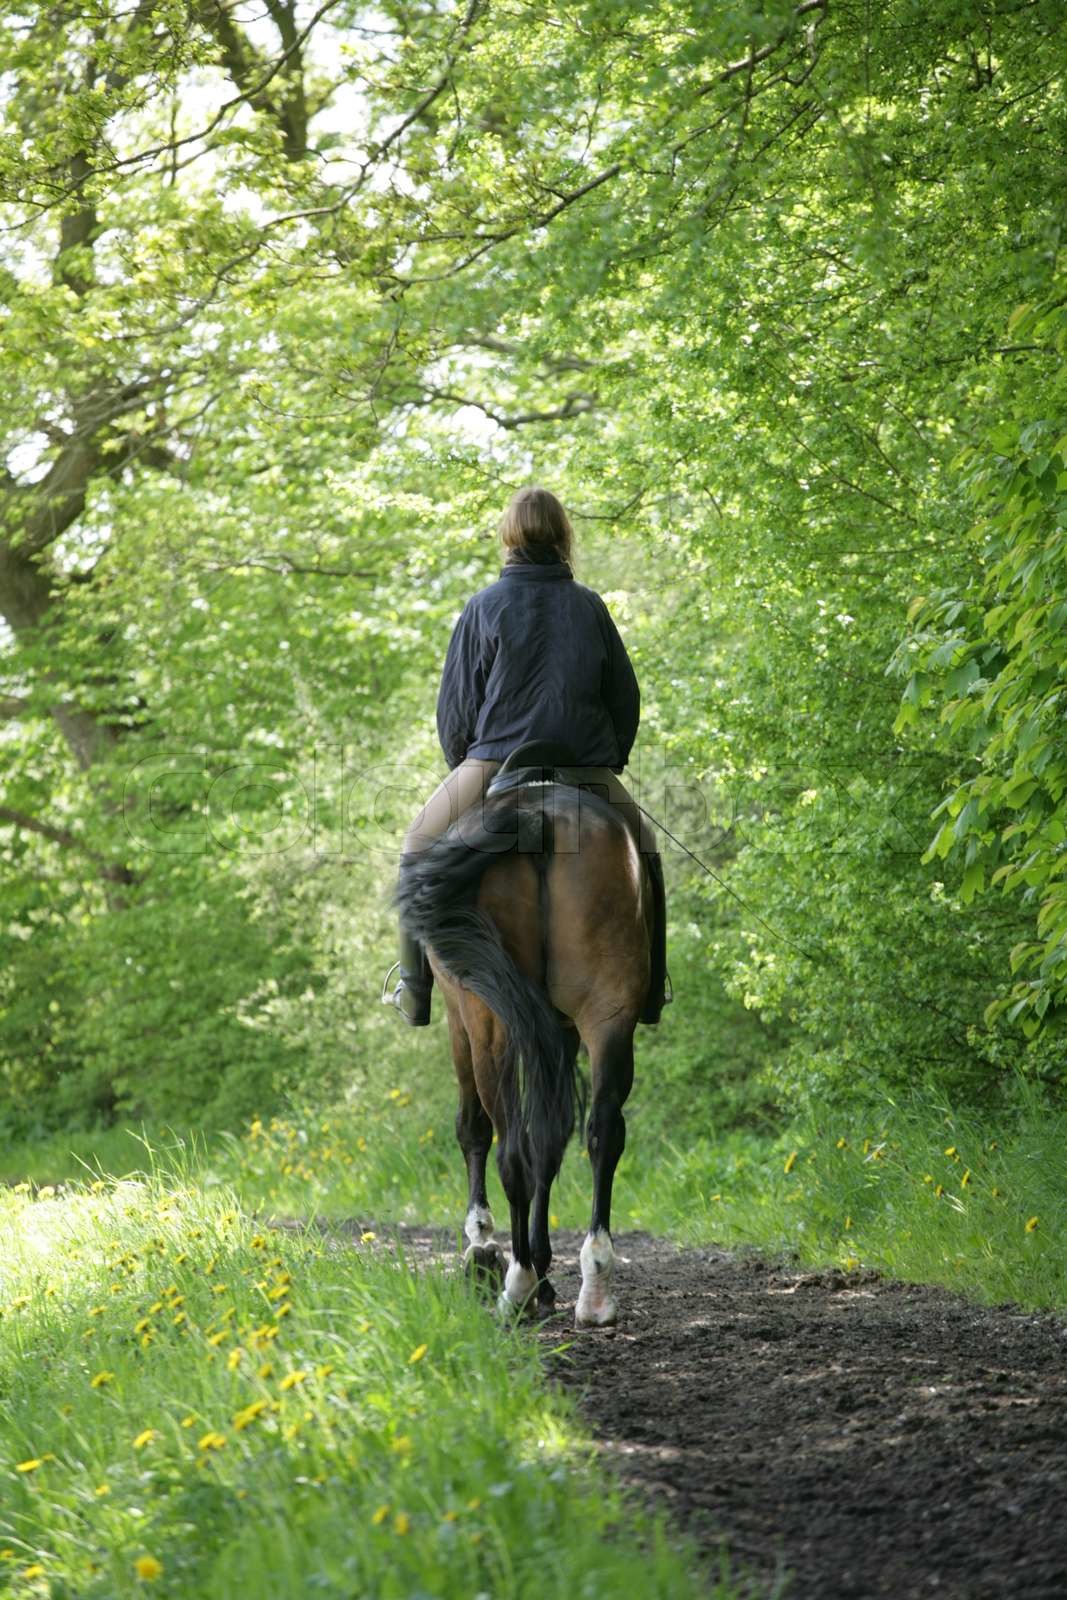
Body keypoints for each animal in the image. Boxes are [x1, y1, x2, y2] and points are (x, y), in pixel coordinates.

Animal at [394, 743, 654, 1327]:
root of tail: (540, 818)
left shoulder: (459, 1024)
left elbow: (473, 1130)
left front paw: (483, 1247)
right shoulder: (558, 1032)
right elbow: (550, 1144)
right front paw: (544, 1265)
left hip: (487, 1022)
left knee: (508, 1145)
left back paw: (515, 1283)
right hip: (608, 1014)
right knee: (600, 1133)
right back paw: (594, 1287)